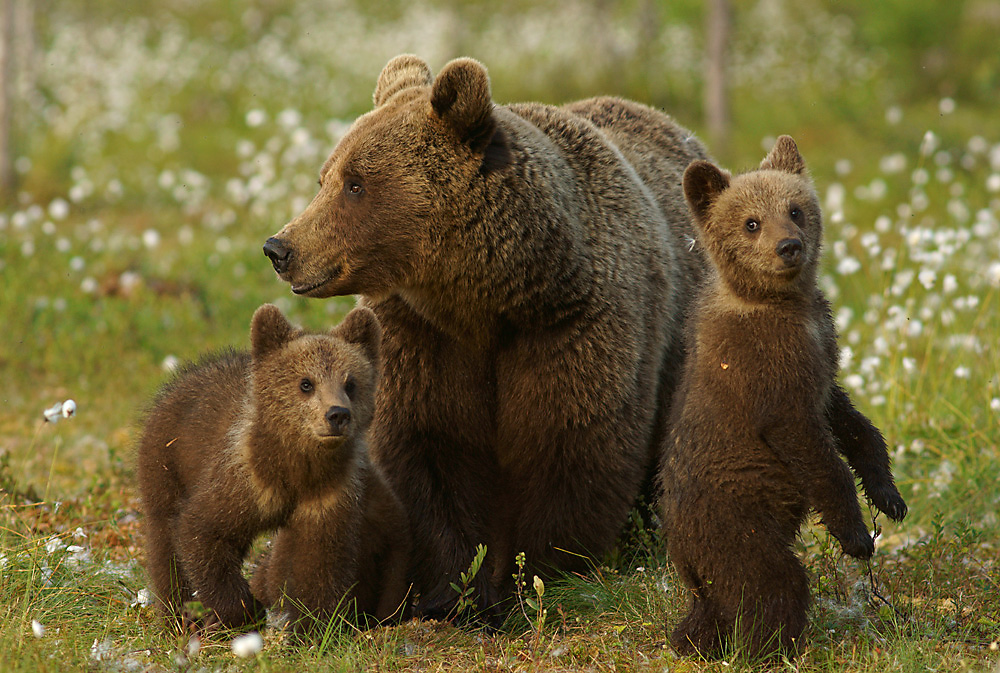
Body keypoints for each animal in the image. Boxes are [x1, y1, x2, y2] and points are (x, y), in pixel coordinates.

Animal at [137, 303, 409, 630]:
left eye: (351, 383)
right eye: (306, 383)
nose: (337, 414)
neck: (296, 470)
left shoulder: (328, 497)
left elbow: (317, 565)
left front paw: (313, 627)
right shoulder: (244, 480)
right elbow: (202, 531)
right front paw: (244, 610)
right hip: (165, 462)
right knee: (164, 539)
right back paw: (178, 617)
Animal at [262, 54, 715, 616]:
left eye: (356, 183)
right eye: (325, 176)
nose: (280, 248)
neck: (487, 299)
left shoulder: (572, 327)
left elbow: (569, 447)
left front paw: (527, 581)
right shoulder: (423, 338)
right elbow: (431, 453)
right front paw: (454, 593)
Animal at [658, 136, 906, 659]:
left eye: (795, 209)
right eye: (751, 221)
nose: (789, 245)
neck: (780, 304)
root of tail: (679, 550)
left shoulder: (821, 352)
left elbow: (850, 420)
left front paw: (888, 495)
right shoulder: (766, 371)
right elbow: (810, 447)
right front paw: (857, 535)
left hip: (710, 561)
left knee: (713, 607)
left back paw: (696, 639)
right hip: (736, 521)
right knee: (769, 580)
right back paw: (773, 649)